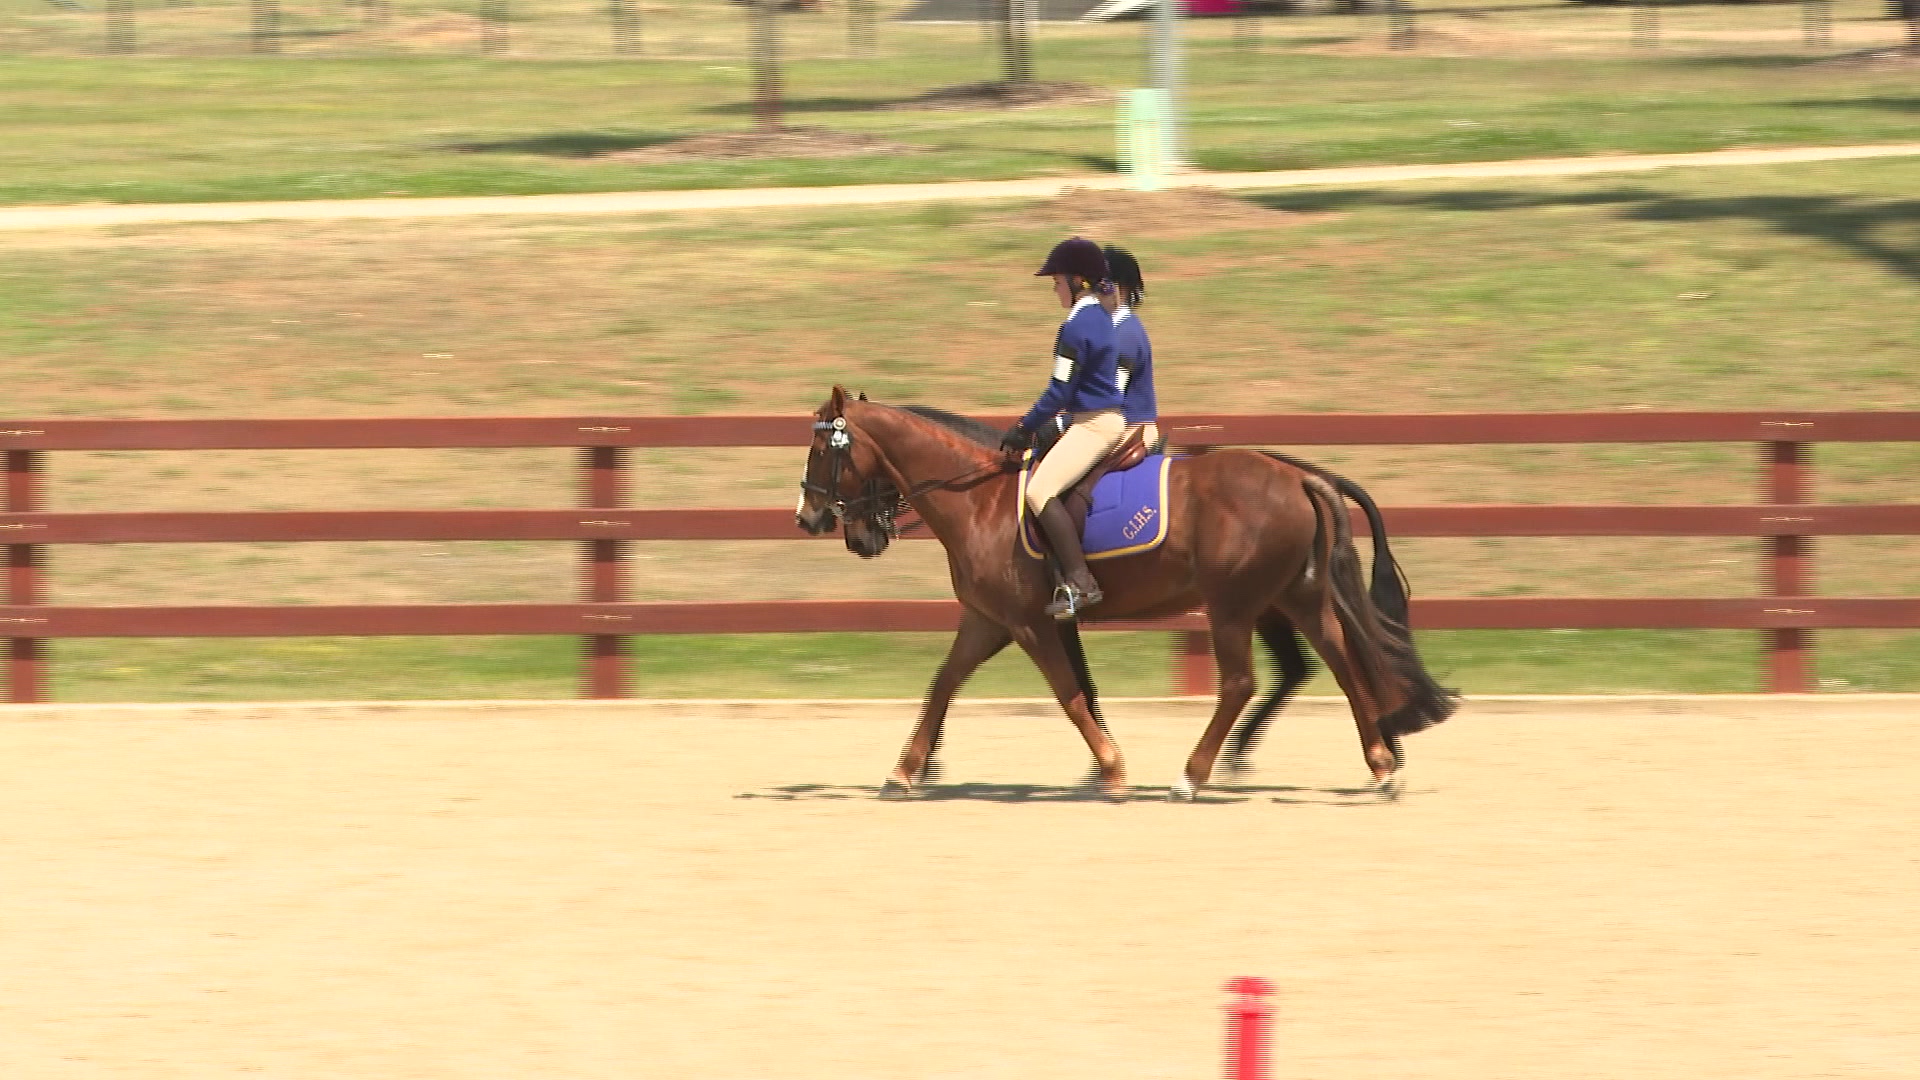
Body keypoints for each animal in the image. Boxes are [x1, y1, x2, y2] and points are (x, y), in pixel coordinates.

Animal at [795, 386, 1457, 801]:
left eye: (824, 450)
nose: (810, 518)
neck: (979, 500)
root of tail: (1299, 475)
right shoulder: (988, 620)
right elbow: (943, 686)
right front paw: (906, 770)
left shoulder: (1030, 623)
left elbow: (1067, 693)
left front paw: (1111, 768)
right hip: (1298, 598)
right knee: (1344, 664)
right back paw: (1381, 766)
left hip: (1235, 605)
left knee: (1242, 683)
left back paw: (1193, 775)